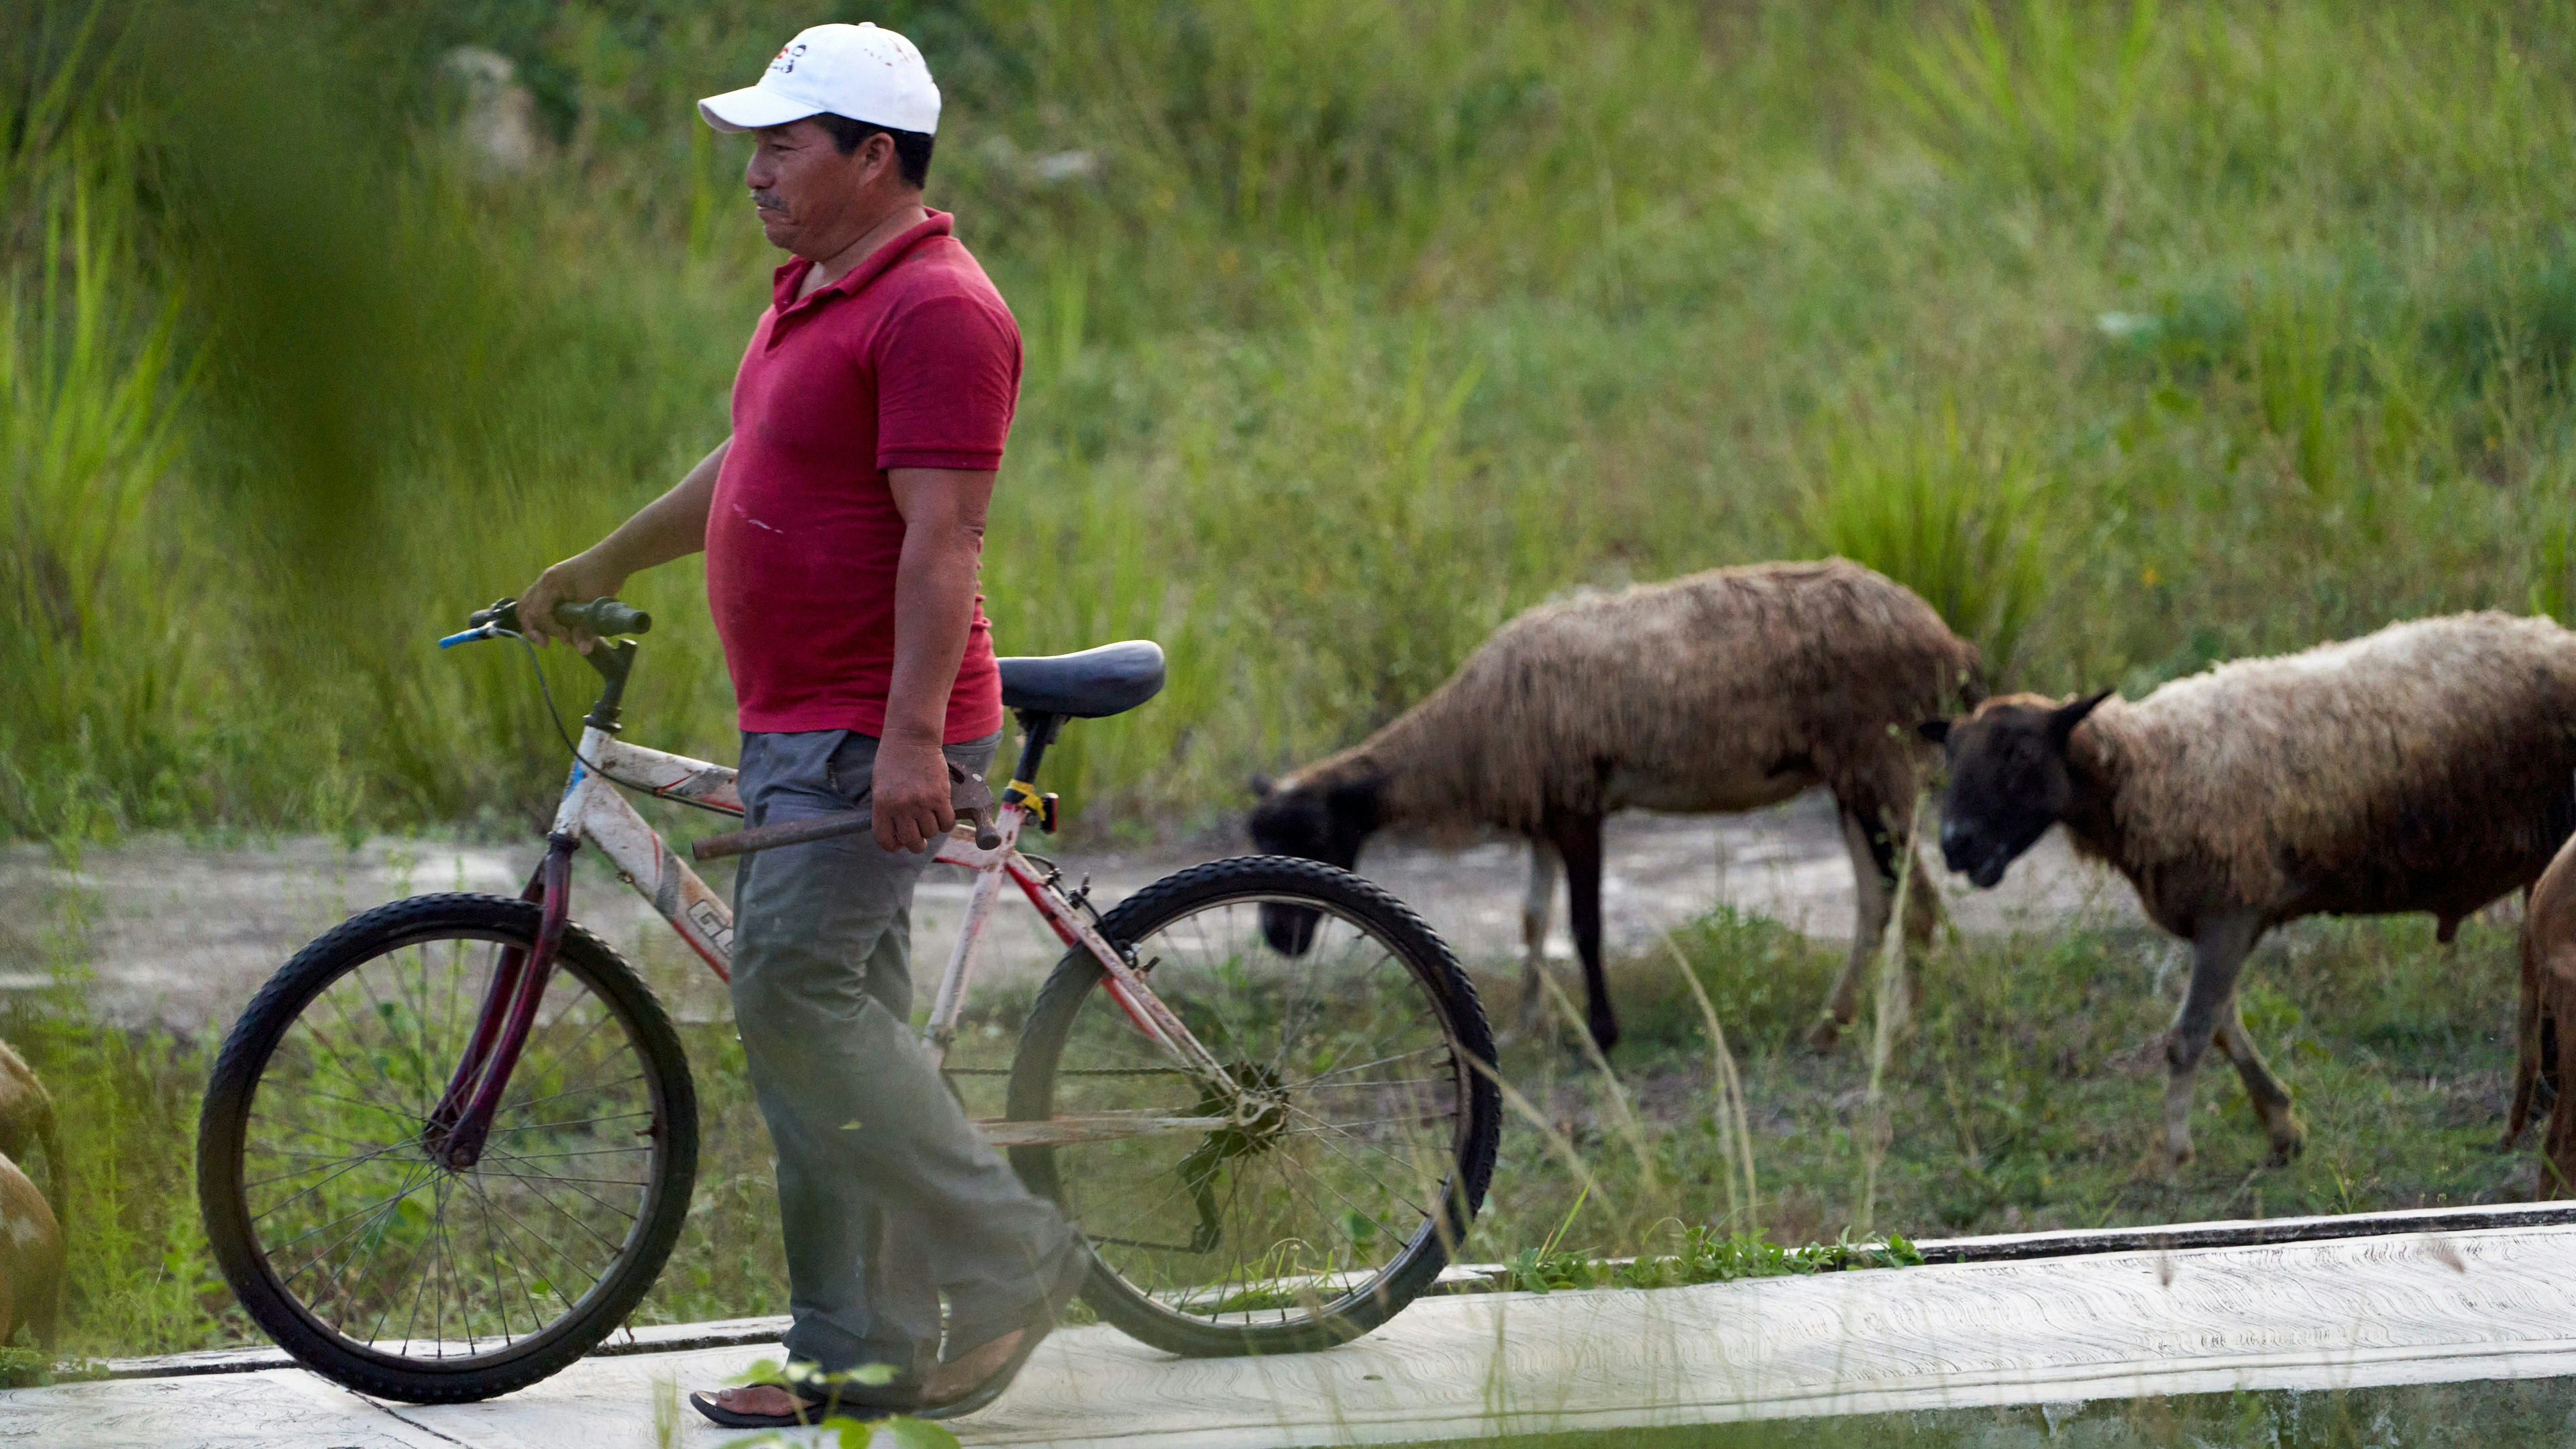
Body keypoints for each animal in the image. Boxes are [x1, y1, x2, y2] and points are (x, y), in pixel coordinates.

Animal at [1248, 558, 1982, 1055]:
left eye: (1313, 836)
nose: (1279, 940)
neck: (1466, 732)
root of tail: (1949, 644)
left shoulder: (1579, 804)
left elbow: (1585, 926)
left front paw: (1601, 1035)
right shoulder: (1544, 816)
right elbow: (1532, 920)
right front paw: (1528, 1027)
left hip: (1877, 759)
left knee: (1915, 905)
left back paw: (1899, 1032)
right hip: (1850, 774)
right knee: (1877, 905)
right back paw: (1832, 1027)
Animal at [1923, 611, 2576, 1172]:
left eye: (2019, 753)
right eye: (1950, 755)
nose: (1954, 844)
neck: (2149, 767)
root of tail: (2556, 635)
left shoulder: (2230, 910)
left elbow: (2189, 1037)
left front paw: (2172, 1156)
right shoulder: (2217, 916)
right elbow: (2222, 1027)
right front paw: (2283, 1129)